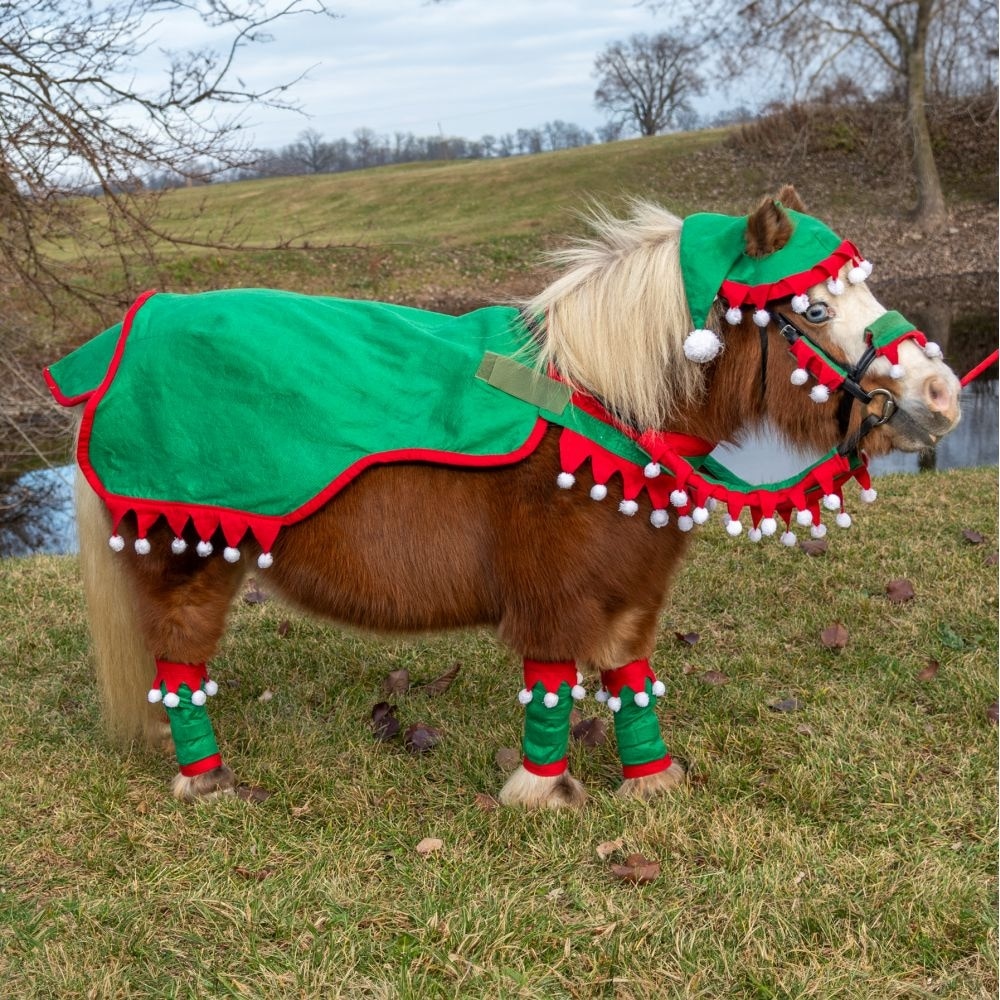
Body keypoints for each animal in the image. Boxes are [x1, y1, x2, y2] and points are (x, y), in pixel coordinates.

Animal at [48, 185, 962, 808]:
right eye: (814, 308)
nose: (944, 396)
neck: (603, 400)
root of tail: (121, 336)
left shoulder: (632, 588)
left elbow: (631, 676)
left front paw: (651, 782)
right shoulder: (555, 587)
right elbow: (553, 678)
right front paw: (542, 793)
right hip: (186, 557)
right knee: (179, 660)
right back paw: (205, 780)